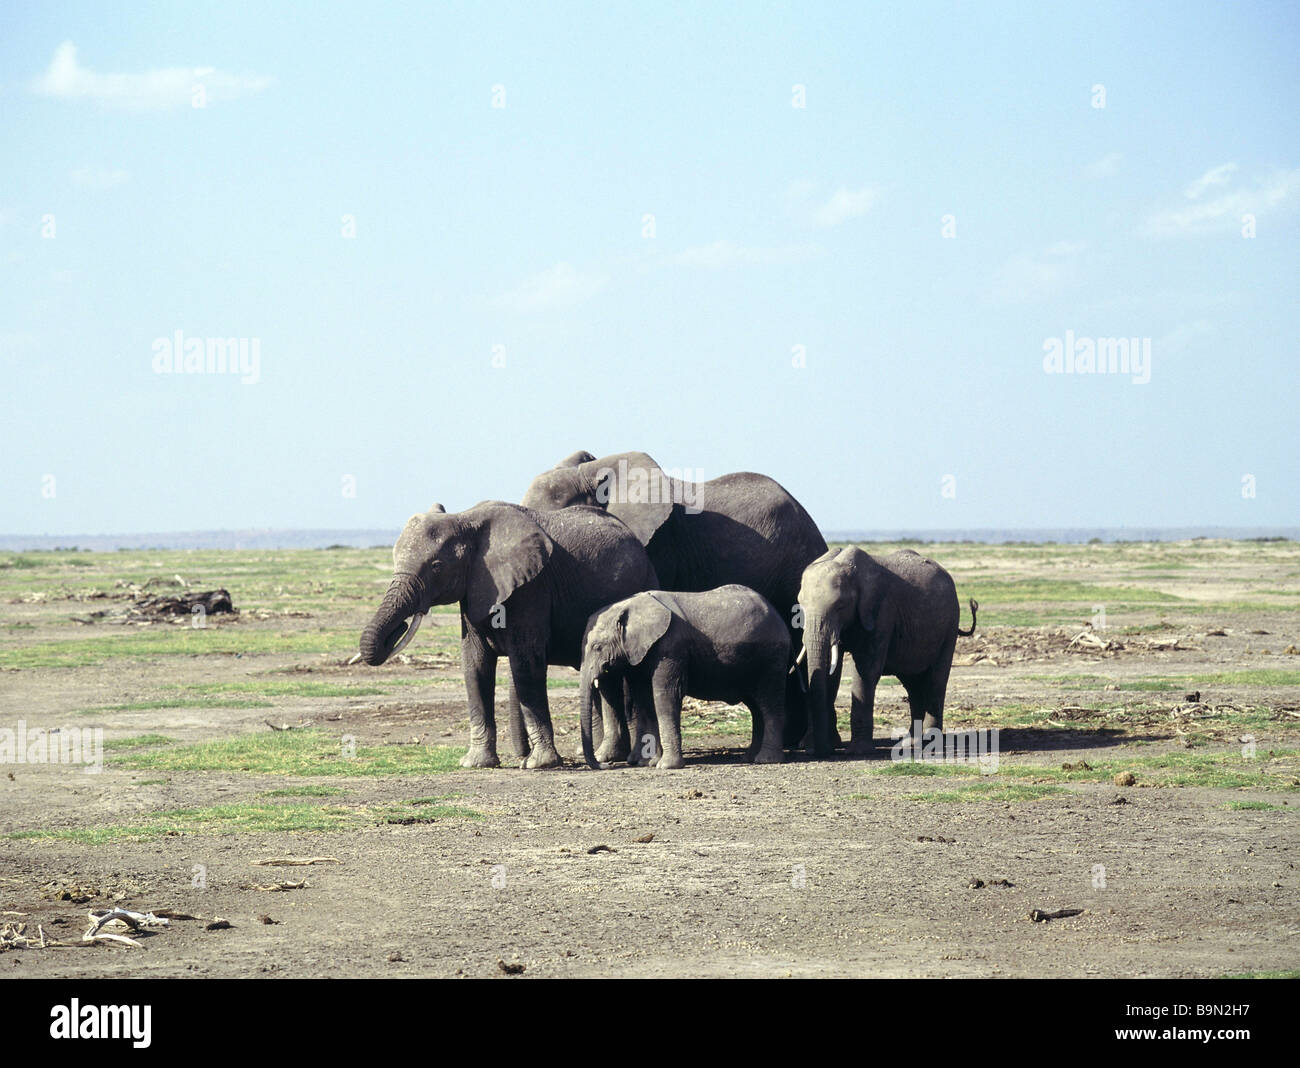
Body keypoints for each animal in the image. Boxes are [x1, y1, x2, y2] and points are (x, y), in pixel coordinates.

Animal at [359, 501, 658, 769]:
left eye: (436, 566)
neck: (465, 519)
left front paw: (538, 764)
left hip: (645, 583)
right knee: (608, 678)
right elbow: (474, 667)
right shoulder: (474, 591)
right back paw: (610, 756)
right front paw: (476, 763)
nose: (399, 628)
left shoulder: (531, 588)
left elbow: (525, 666)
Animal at [579, 585, 790, 769]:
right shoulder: (639, 654)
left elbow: (665, 695)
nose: (605, 765)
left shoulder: (670, 647)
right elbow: (645, 700)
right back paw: (749, 757)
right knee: (756, 707)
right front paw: (649, 763)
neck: (632, 605)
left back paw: (766, 760)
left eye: (597, 647)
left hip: (772, 658)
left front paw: (665, 766)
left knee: (769, 704)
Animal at [794, 547, 977, 756]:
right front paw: (812, 746)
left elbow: (866, 671)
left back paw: (930, 744)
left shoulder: (881, 612)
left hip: (949, 626)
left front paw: (858, 751)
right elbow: (830, 671)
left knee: (936, 681)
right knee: (912, 684)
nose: (822, 751)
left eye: (840, 606)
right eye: (801, 606)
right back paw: (911, 743)